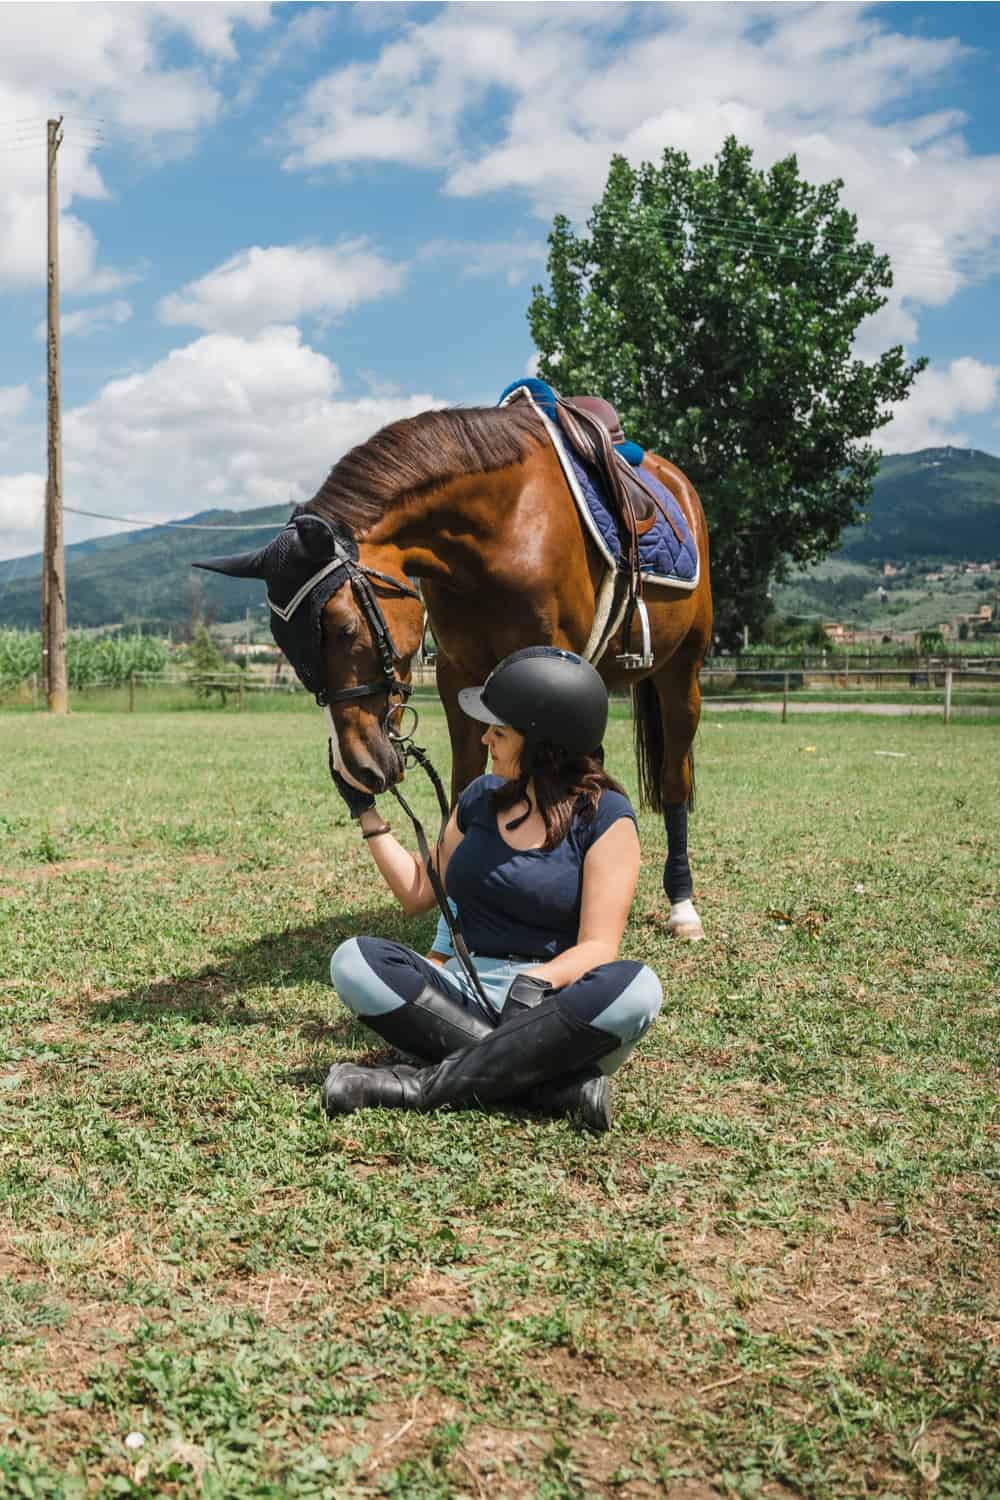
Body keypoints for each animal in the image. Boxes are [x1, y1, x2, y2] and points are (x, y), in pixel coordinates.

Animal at [197, 401, 712, 938]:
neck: (502, 528)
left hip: (682, 674)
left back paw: (682, 905)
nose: (356, 767)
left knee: (674, 778)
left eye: (342, 626)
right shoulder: (458, 677)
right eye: (283, 643)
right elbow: (466, 786)